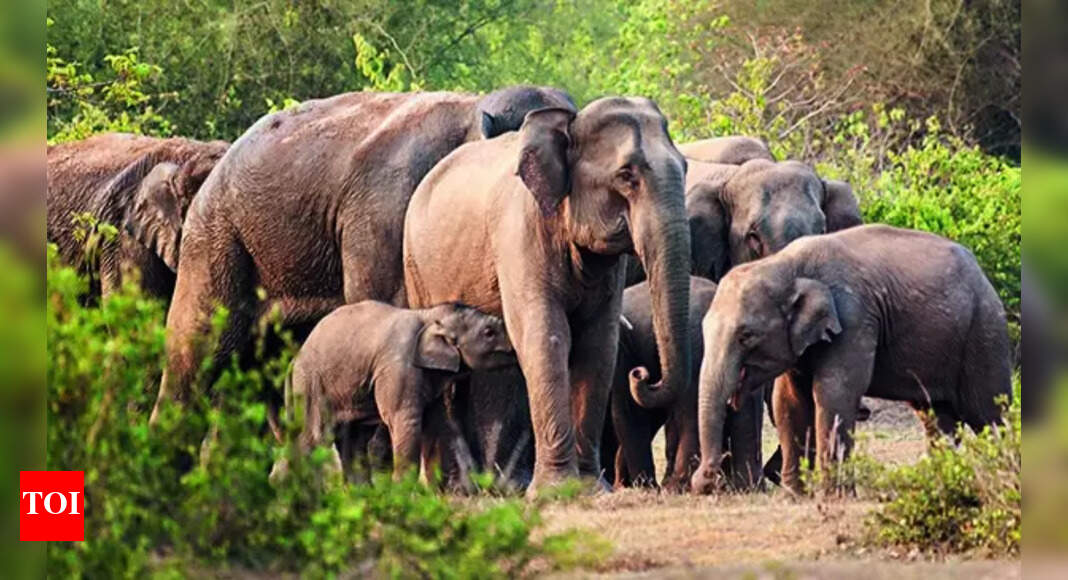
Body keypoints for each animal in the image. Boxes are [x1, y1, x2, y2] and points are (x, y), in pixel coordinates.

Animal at [269, 301, 515, 484]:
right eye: (489, 332)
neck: (428, 314)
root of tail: (293, 361)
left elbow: (432, 420)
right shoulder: (398, 365)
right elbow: (403, 420)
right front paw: (402, 492)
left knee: (353, 440)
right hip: (310, 385)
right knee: (310, 436)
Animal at [404, 98, 693, 493]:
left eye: (685, 167)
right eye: (626, 175)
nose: (642, 374)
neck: (567, 126)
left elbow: (598, 344)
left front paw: (590, 488)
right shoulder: (520, 234)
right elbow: (547, 335)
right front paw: (556, 490)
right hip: (416, 266)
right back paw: (455, 489)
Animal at [690, 225, 1012, 495]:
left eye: (746, 336)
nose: (704, 480)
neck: (786, 265)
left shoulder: (853, 318)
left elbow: (835, 392)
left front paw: (835, 496)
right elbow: (789, 401)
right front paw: (796, 496)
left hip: (984, 332)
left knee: (989, 412)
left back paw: (1004, 477)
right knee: (938, 418)